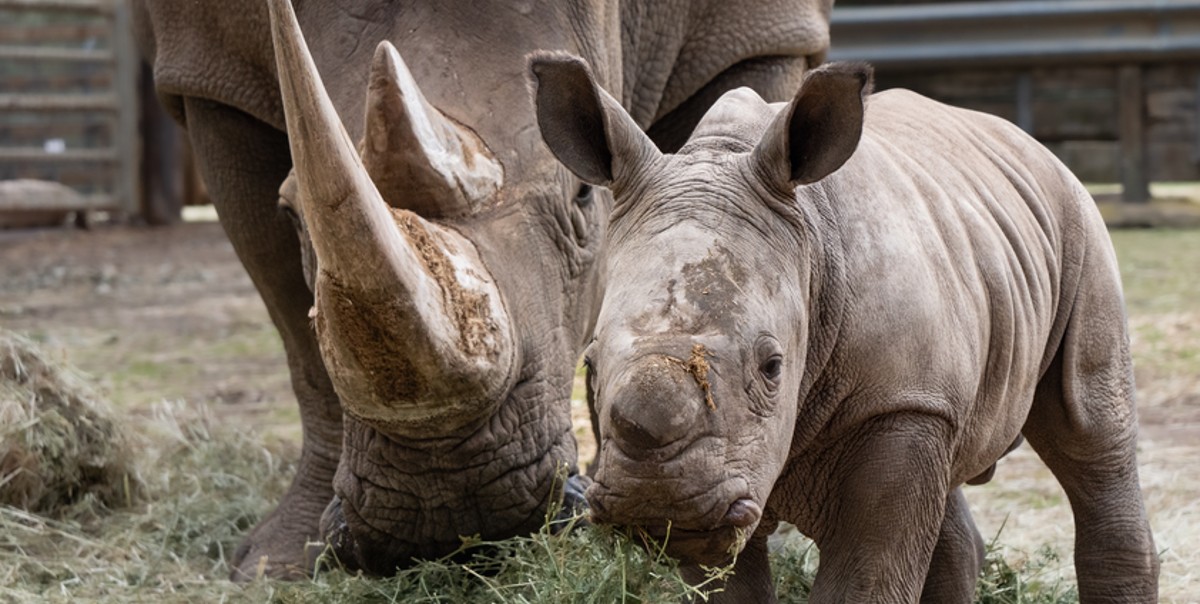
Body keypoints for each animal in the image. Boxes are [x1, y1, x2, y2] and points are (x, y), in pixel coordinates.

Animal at [131, 0, 834, 580]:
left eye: (585, 198)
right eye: (291, 215)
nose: (452, 513)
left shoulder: (755, 34)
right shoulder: (205, 73)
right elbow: (294, 328)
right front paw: (279, 565)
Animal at [531, 56, 1160, 602]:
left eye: (773, 366)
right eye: (589, 365)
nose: (654, 498)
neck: (809, 238)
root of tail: (1026, 140)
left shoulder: (897, 401)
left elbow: (866, 580)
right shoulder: (748, 469)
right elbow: (731, 584)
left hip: (1077, 222)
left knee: (1091, 432)